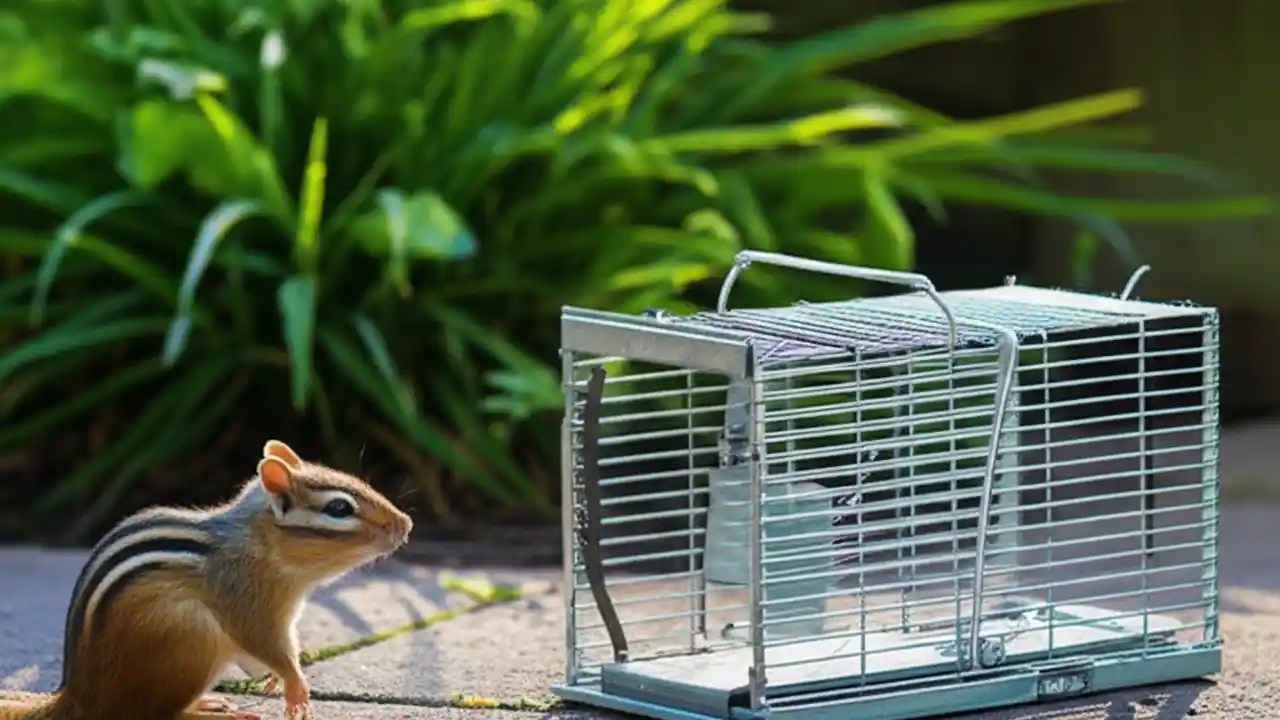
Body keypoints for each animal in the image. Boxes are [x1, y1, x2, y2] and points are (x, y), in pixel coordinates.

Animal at [0, 439, 413, 720]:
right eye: (340, 507)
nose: (406, 524)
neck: (258, 542)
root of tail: (81, 700)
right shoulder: (247, 599)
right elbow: (266, 644)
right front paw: (296, 688)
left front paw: (275, 681)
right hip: (193, 634)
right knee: (157, 714)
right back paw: (210, 711)